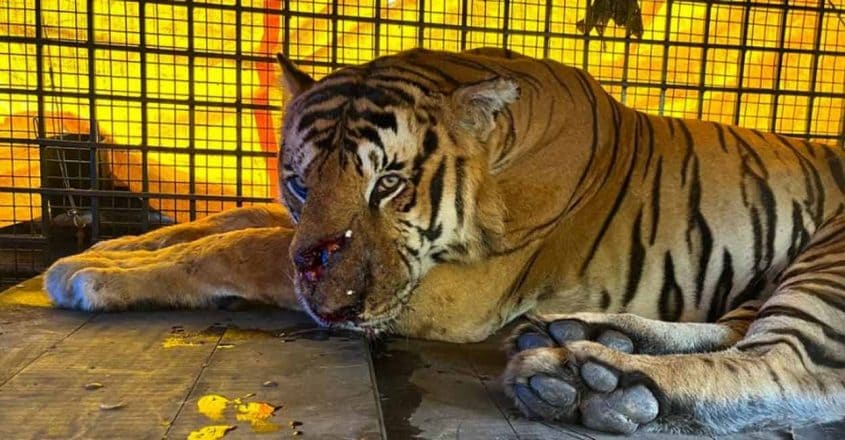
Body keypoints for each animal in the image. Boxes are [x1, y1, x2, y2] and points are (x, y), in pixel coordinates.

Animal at [43, 47, 845, 435]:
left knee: (790, 367)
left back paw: (598, 382)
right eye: (299, 182)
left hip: (825, 261)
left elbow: (244, 248)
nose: (328, 301)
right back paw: (583, 334)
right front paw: (98, 252)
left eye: (389, 184)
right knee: (737, 331)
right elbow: (234, 221)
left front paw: (88, 277)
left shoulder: (446, 291)